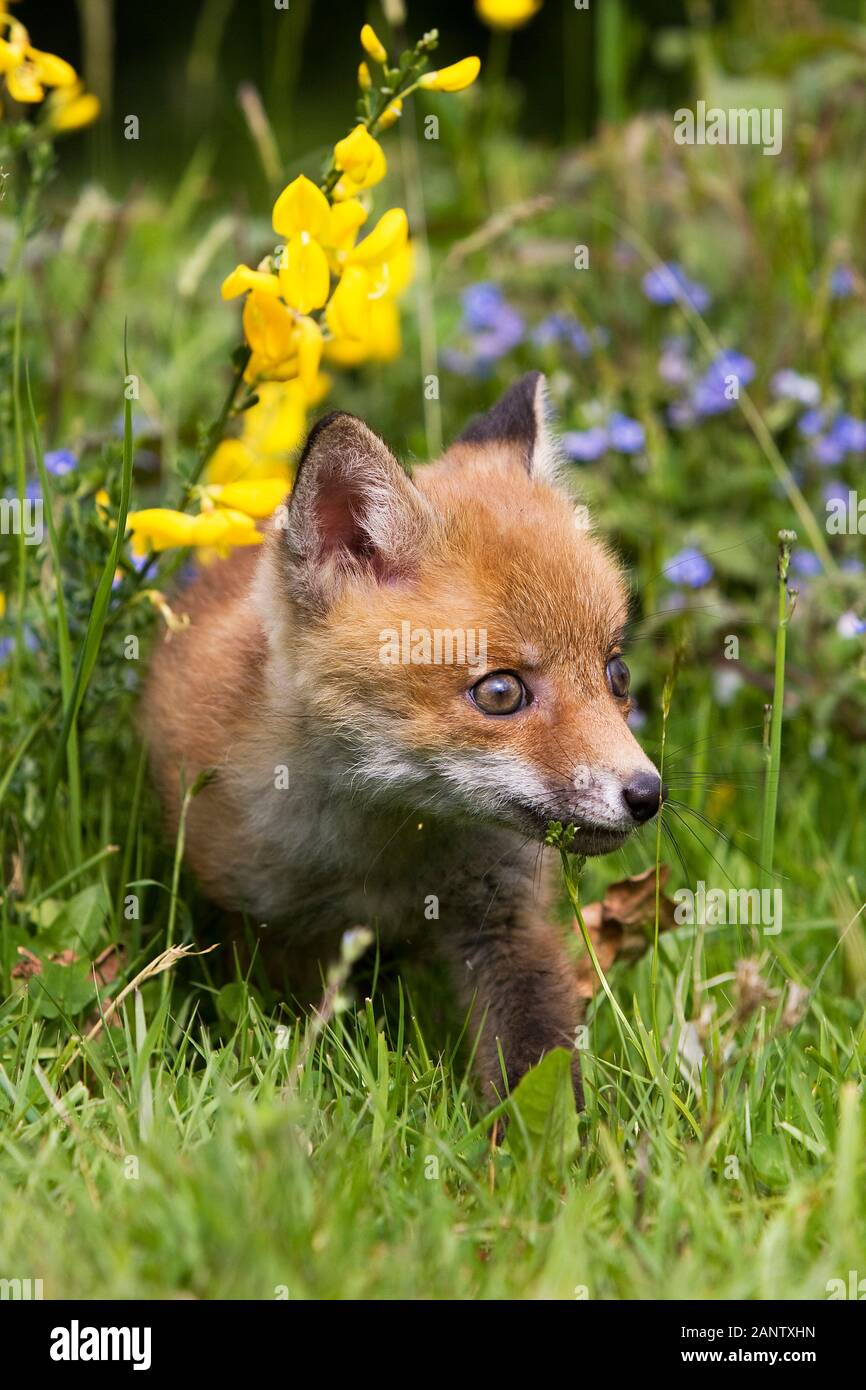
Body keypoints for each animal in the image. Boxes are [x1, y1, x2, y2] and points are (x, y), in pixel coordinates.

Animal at [142, 371, 662, 1107]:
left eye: (616, 673)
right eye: (500, 693)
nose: (648, 795)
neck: (387, 844)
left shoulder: (503, 917)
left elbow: (537, 1058)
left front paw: (545, 1138)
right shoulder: (266, 924)